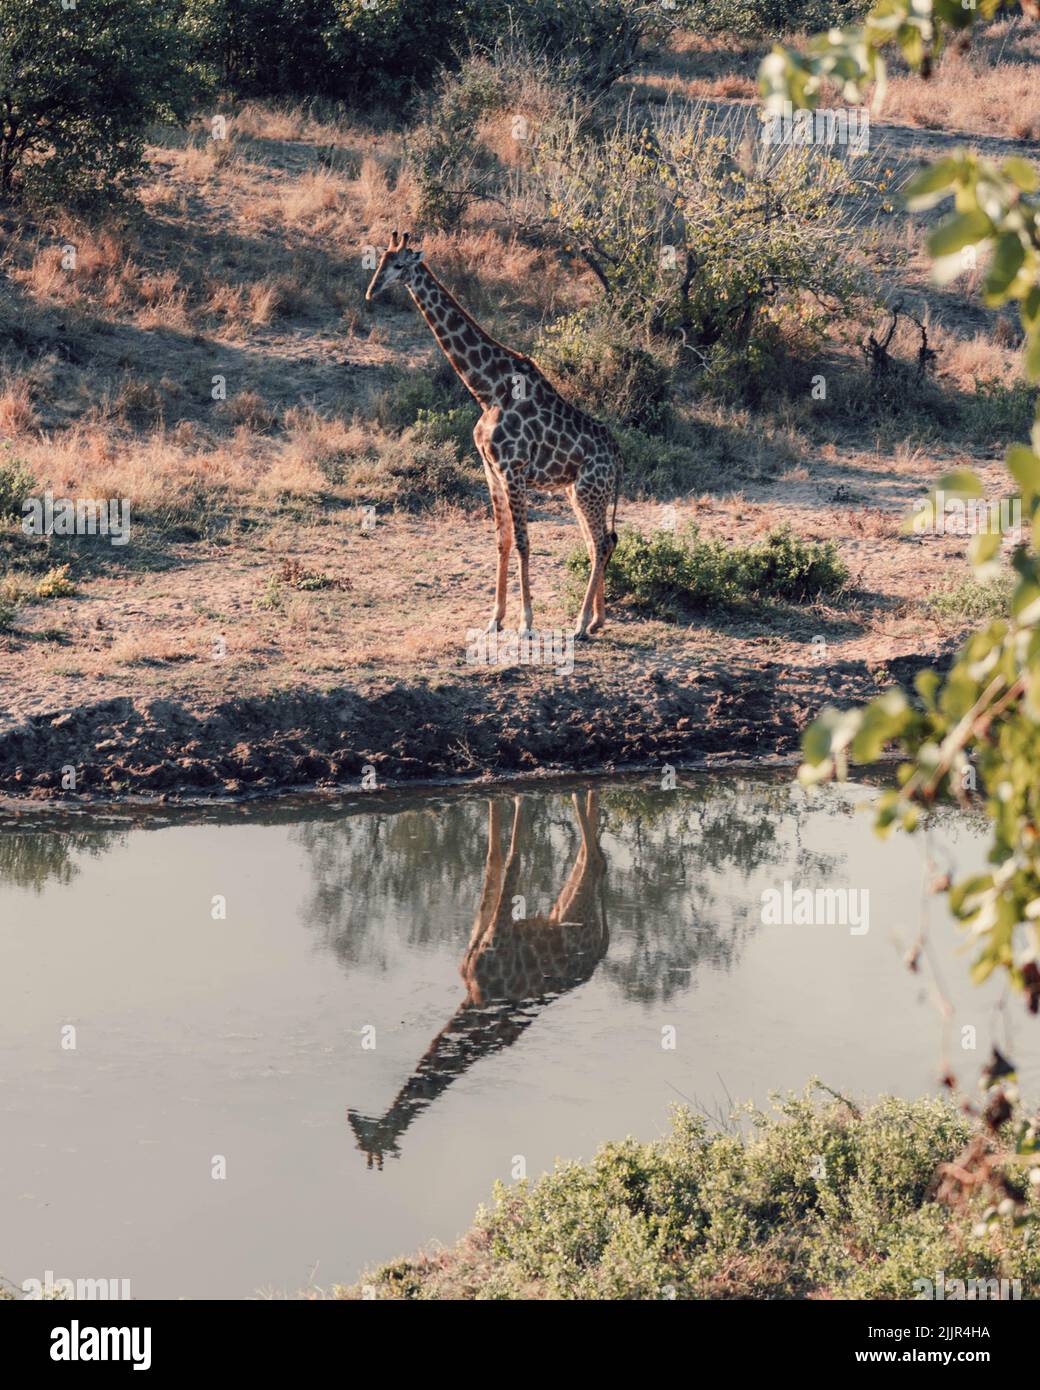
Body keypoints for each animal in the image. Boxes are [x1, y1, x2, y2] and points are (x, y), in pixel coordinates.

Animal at [348, 791, 608, 1167]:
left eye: (369, 1142)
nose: (352, 1118)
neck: (474, 1002)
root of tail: (601, 950)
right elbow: (492, 860)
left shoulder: (500, 935)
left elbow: (513, 858)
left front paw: (517, 800)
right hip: (564, 908)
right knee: (592, 843)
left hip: (577, 912)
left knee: (597, 858)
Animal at [365, 231, 621, 638]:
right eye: (379, 262)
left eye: (400, 264)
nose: (372, 291)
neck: (487, 388)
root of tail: (618, 455)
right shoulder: (490, 468)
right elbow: (502, 539)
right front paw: (495, 619)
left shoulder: (512, 469)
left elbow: (523, 542)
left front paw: (526, 622)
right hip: (576, 490)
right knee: (598, 541)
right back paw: (596, 619)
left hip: (589, 489)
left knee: (600, 542)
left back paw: (580, 625)